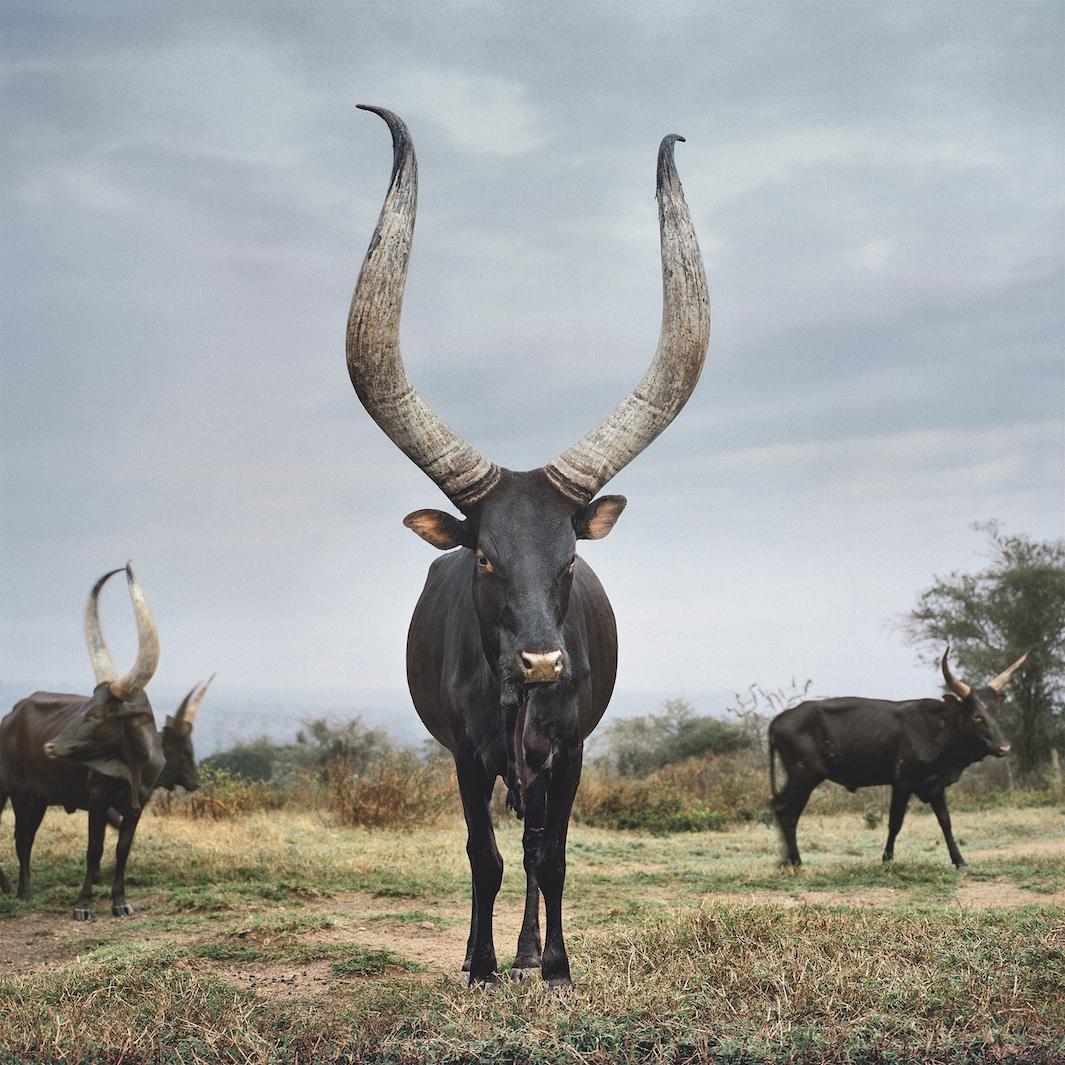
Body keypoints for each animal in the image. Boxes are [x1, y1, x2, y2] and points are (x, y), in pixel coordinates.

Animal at [0, 564, 164, 918]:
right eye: (84, 707)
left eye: (98, 714)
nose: (49, 747)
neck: (132, 765)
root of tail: (11, 714)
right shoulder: (97, 798)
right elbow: (94, 848)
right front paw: (83, 905)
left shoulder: (138, 804)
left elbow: (122, 850)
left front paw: (120, 902)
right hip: (19, 790)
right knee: (22, 838)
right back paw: (24, 893)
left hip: (40, 797)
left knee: (27, 836)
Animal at [346, 106, 710, 987]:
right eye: (483, 557)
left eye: (570, 561)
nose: (543, 663)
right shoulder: (468, 757)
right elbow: (485, 855)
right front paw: (478, 964)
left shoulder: (570, 751)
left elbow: (552, 857)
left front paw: (555, 965)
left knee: (540, 840)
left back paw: (530, 948)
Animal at [767, 648, 1030, 869]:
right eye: (976, 715)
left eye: (996, 712)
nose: (1004, 747)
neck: (940, 729)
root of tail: (778, 720)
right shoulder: (902, 783)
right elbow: (895, 822)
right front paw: (887, 859)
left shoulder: (935, 785)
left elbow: (945, 821)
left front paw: (960, 861)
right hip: (804, 775)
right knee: (785, 809)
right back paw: (796, 861)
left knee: (786, 810)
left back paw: (787, 859)